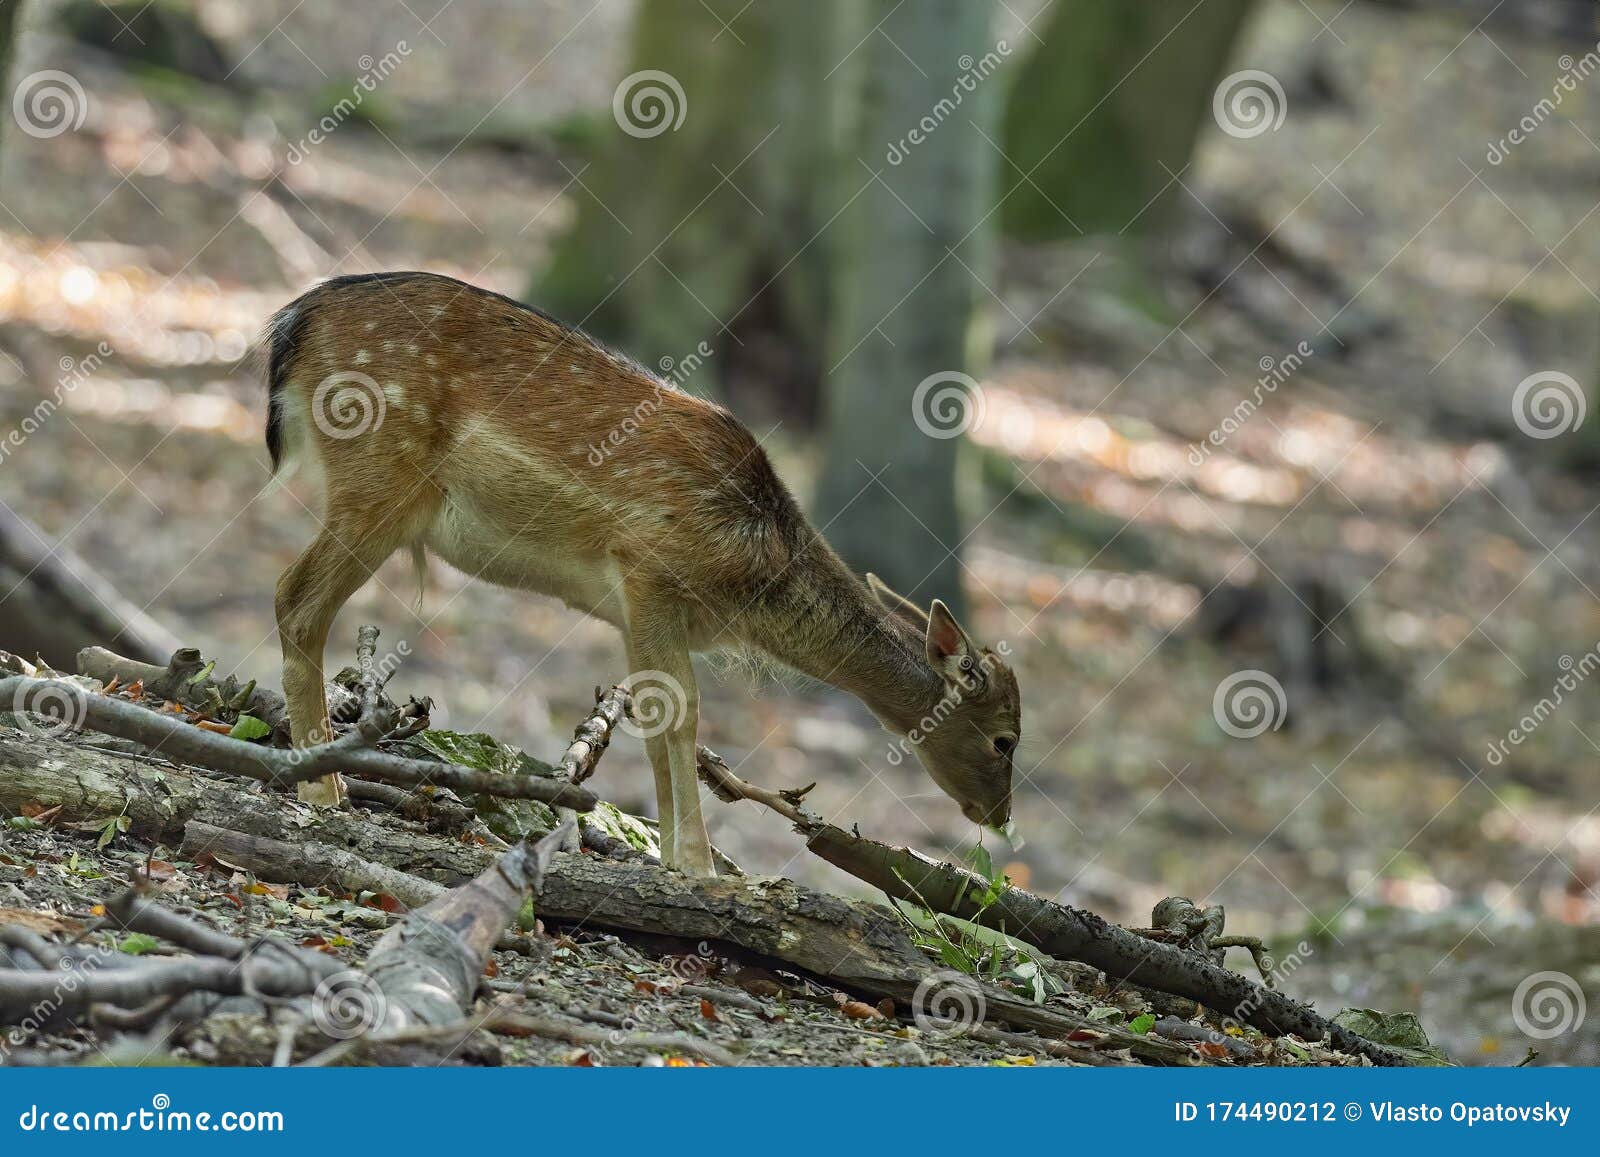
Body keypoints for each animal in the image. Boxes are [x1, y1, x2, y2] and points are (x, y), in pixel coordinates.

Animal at [264, 271, 1020, 876]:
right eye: (1005, 737)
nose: (1001, 817)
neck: (749, 583)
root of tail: (294, 320)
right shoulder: (651, 569)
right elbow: (681, 715)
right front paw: (701, 867)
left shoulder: (638, 610)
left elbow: (651, 721)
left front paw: (670, 857)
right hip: (377, 475)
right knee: (295, 597)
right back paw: (319, 786)